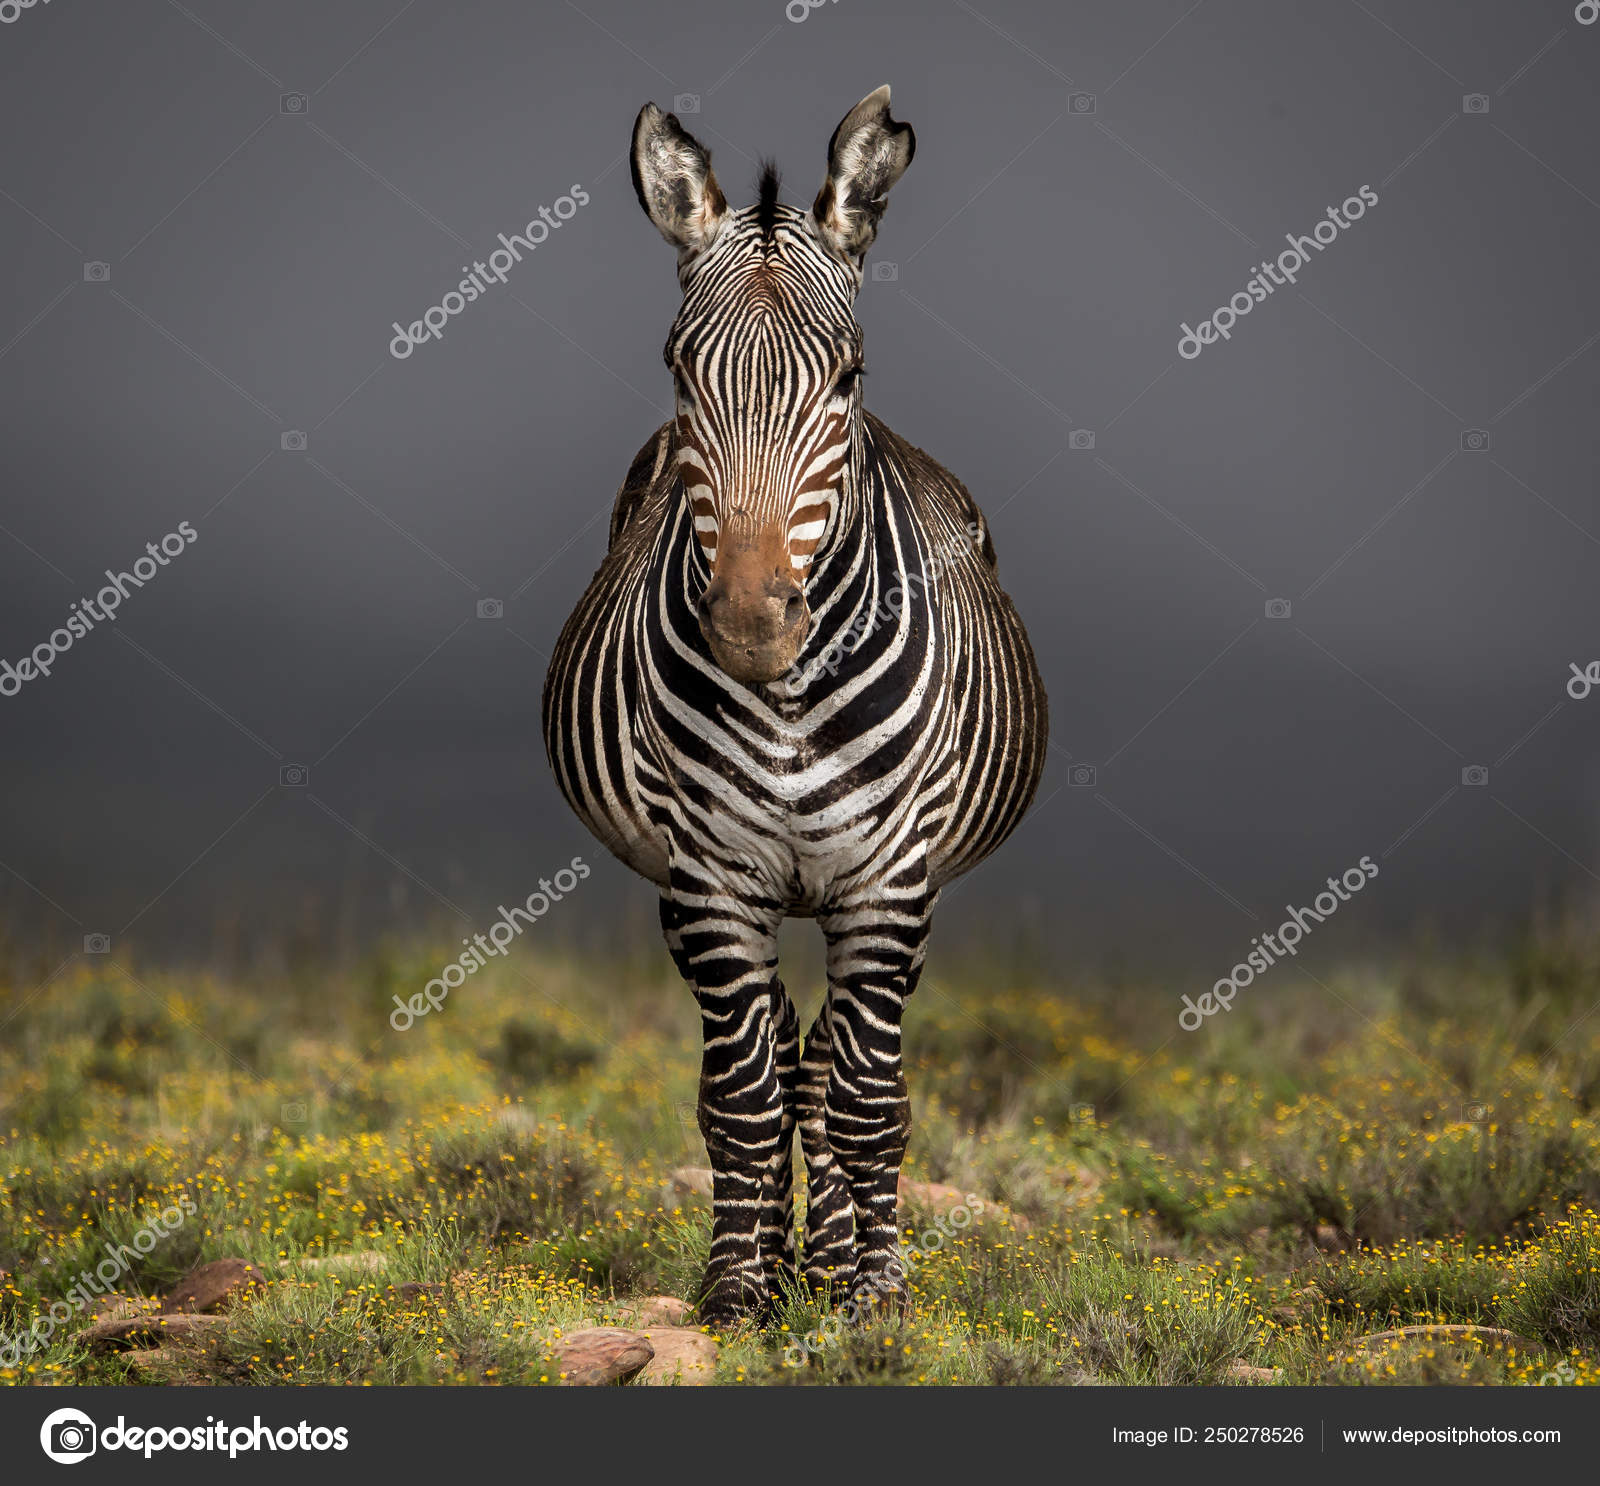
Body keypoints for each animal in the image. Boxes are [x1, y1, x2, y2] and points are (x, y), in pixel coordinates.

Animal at [543, 86, 1047, 1324]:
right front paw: (737, 1290)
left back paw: (828, 1265)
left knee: (832, 1070)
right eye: (679, 372)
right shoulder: (712, 880)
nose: (749, 622)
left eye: (850, 376)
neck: (786, 700)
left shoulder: (888, 880)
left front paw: (873, 1299)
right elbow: (741, 1098)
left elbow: (865, 1106)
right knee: (776, 1052)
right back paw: (782, 1261)